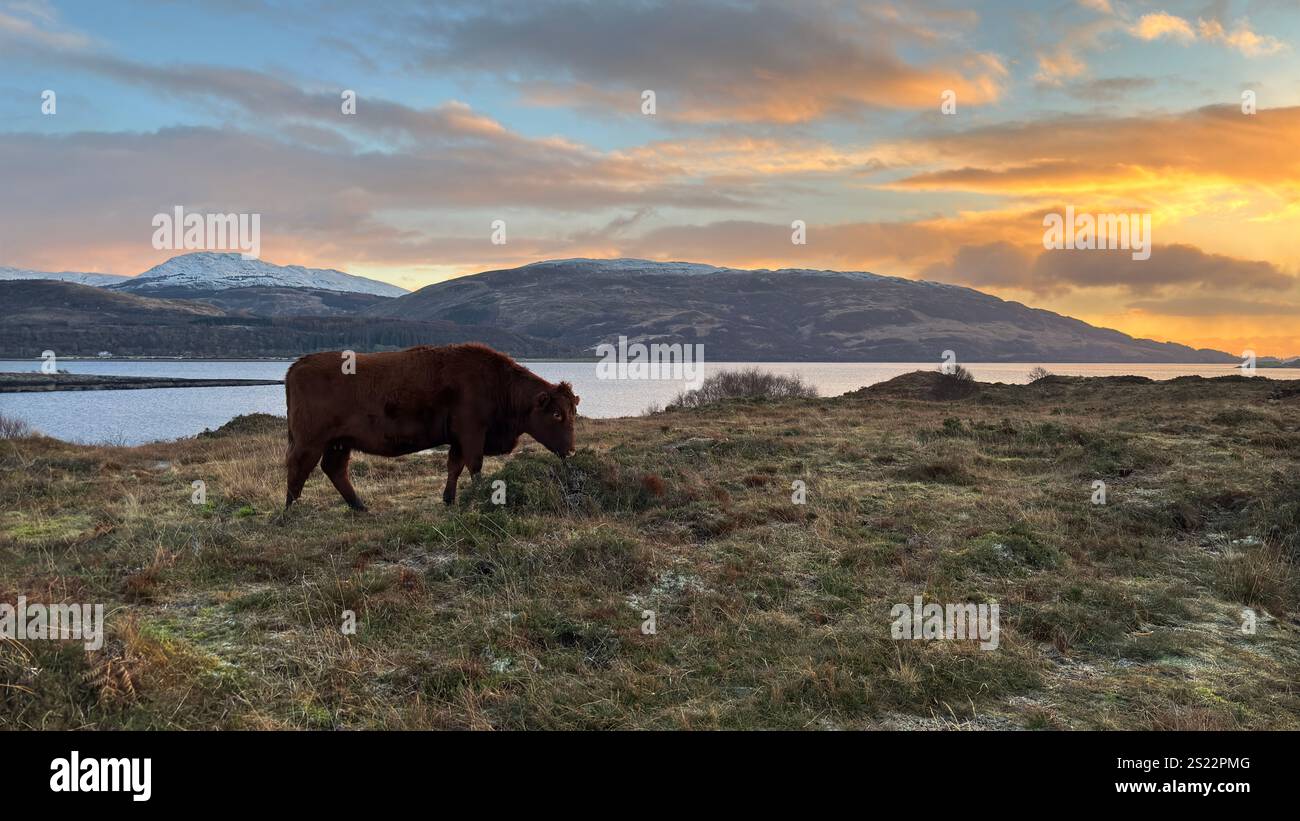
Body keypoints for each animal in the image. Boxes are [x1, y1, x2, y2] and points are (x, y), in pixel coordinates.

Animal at [283, 343, 579, 510]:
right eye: (556, 414)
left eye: (573, 412)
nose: (571, 451)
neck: (498, 384)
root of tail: (297, 365)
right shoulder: (472, 433)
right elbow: (474, 465)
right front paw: (481, 496)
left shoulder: (458, 440)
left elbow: (454, 467)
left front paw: (449, 499)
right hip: (311, 441)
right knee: (299, 466)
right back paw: (291, 509)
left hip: (339, 442)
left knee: (334, 469)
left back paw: (359, 506)